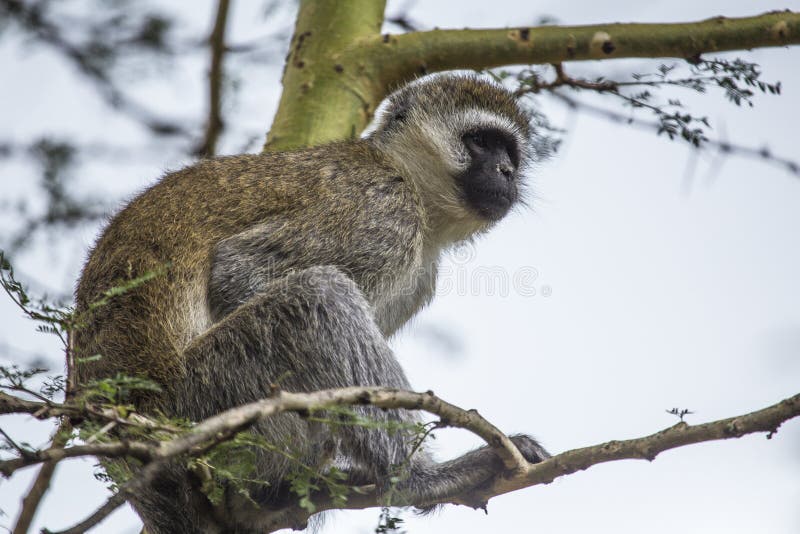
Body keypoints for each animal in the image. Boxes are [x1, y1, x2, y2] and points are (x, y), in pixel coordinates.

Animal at [73, 73, 549, 533]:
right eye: (481, 141)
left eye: (510, 151)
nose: (507, 170)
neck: (410, 180)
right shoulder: (379, 212)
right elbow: (236, 270)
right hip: (203, 399)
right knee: (320, 296)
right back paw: (417, 478)